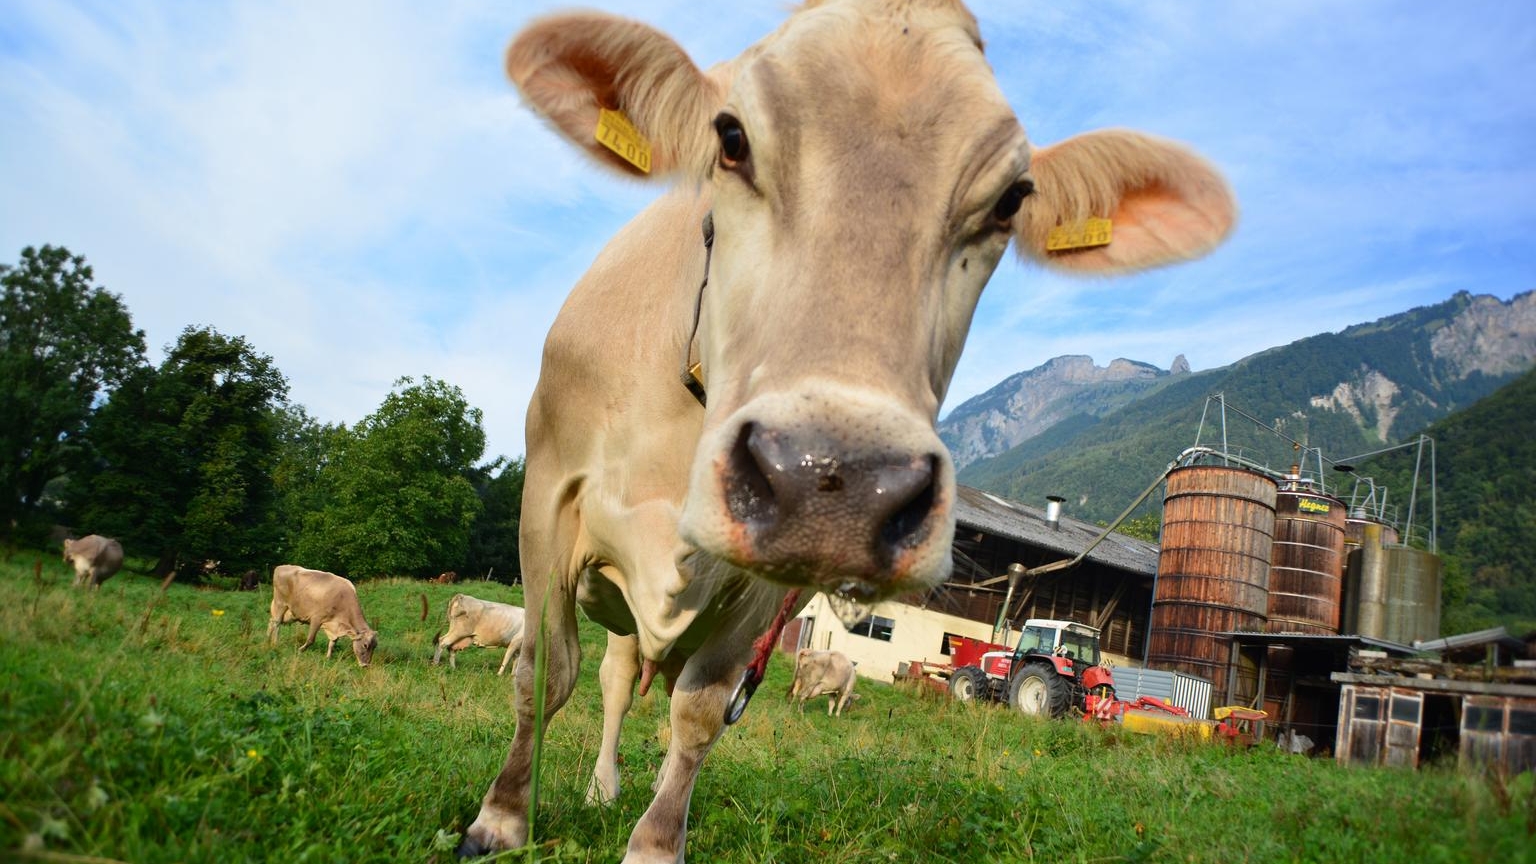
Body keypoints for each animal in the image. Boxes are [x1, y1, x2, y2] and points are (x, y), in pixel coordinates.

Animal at [458, 2, 1235, 860]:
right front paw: (500, 817)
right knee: (613, 677)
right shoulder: (547, 495)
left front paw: (656, 843)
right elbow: (545, 671)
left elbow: (698, 714)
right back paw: (599, 784)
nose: (837, 481)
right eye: (731, 137)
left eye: (1011, 199)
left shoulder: (765, 584)